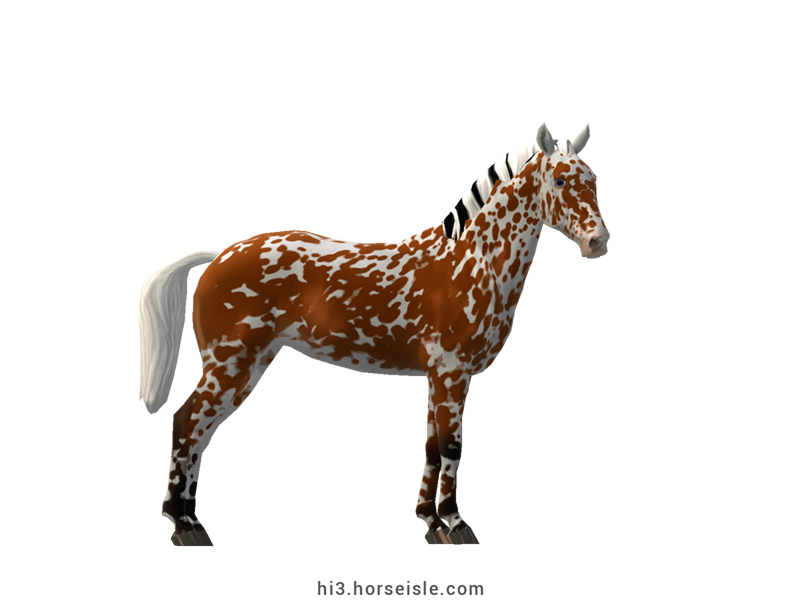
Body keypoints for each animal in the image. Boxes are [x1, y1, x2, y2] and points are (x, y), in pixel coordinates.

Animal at [138, 123, 609, 536]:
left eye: (590, 178)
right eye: (562, 180)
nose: (597, 240)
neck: (471, 263)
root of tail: (216, 257)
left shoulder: (438, 376)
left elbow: (433, 447)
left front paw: (428, 519)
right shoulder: (451, 370)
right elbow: (452, 446)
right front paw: (453, 520)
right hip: (230, 366)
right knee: (187, 422)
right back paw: (180, 520)